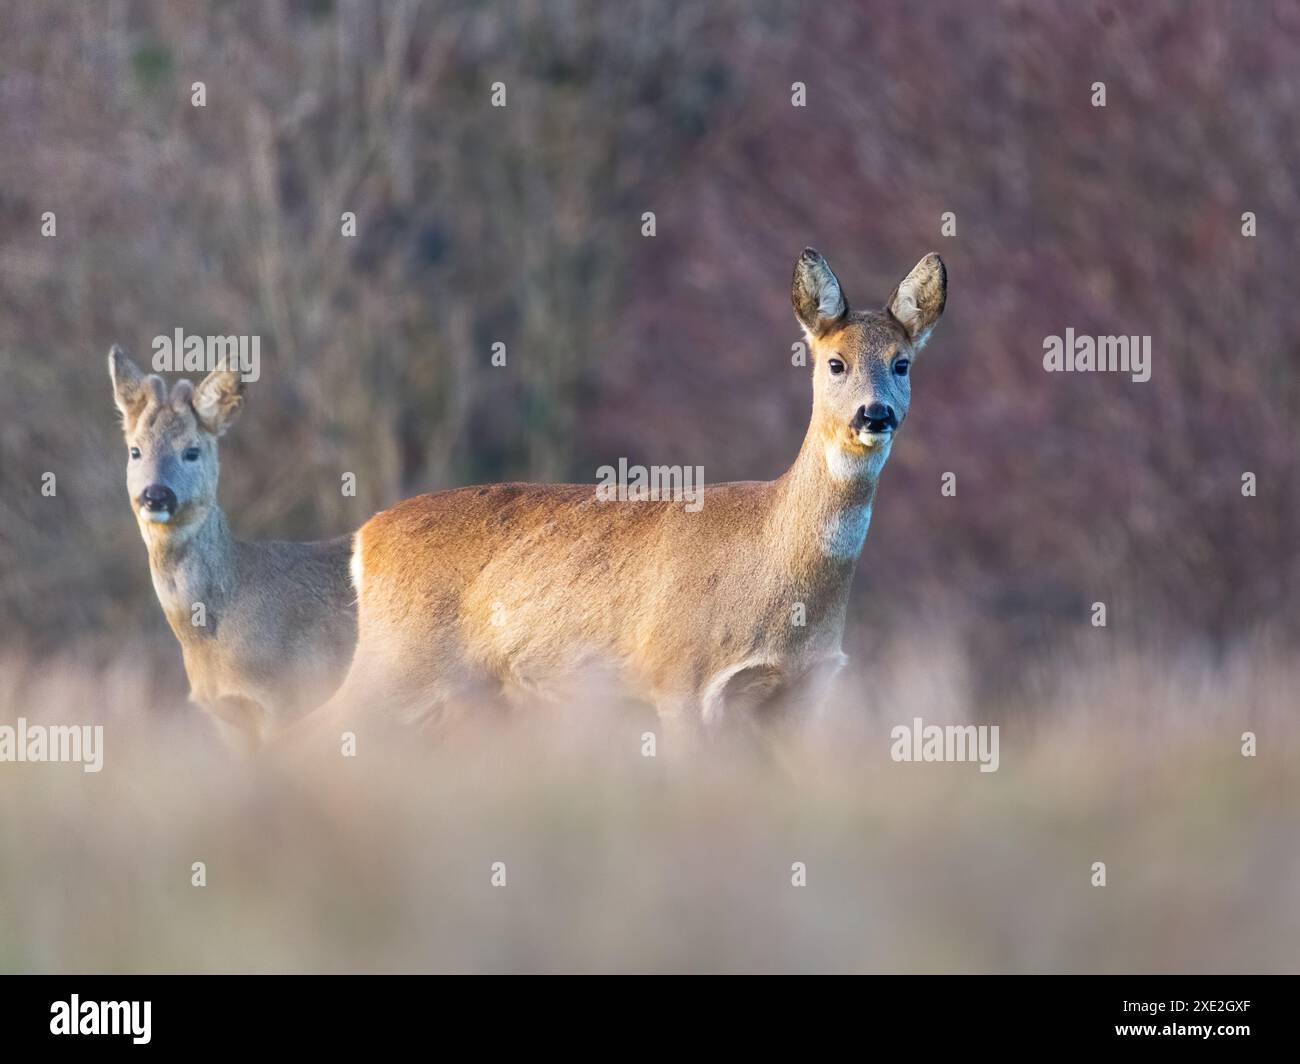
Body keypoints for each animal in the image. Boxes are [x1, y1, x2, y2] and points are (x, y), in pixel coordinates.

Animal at [315, 250, 946, 745]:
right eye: (835, 363)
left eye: (901, 364)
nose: (874, 414)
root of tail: (365, 538)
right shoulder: (680, 676)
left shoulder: (800, 697)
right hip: (398, 659)